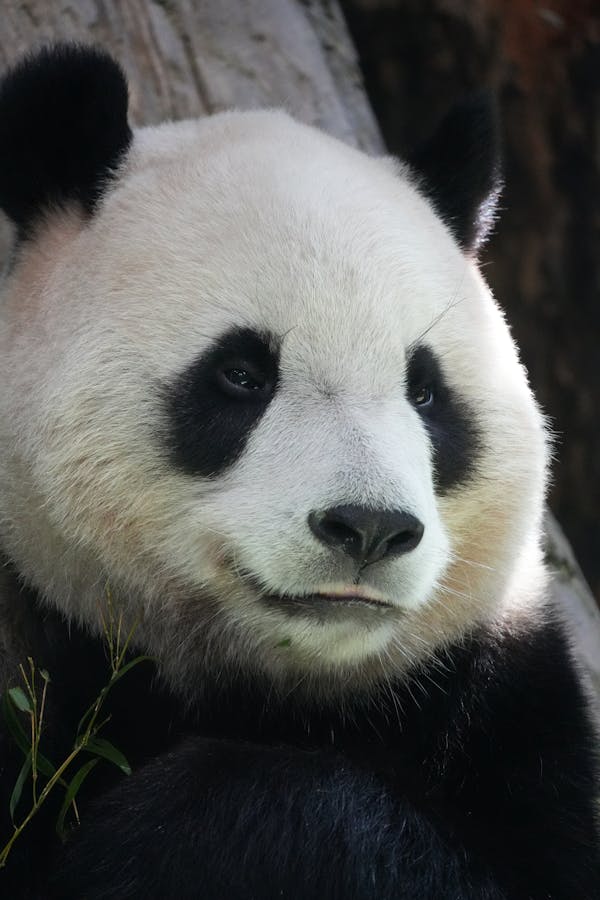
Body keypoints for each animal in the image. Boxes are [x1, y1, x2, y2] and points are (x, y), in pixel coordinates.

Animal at [0, 43, 598, 900]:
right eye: (242, 374)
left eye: (425, 390)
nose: (371, 529)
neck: (282, 692)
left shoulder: (501, 697)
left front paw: (168, 829)